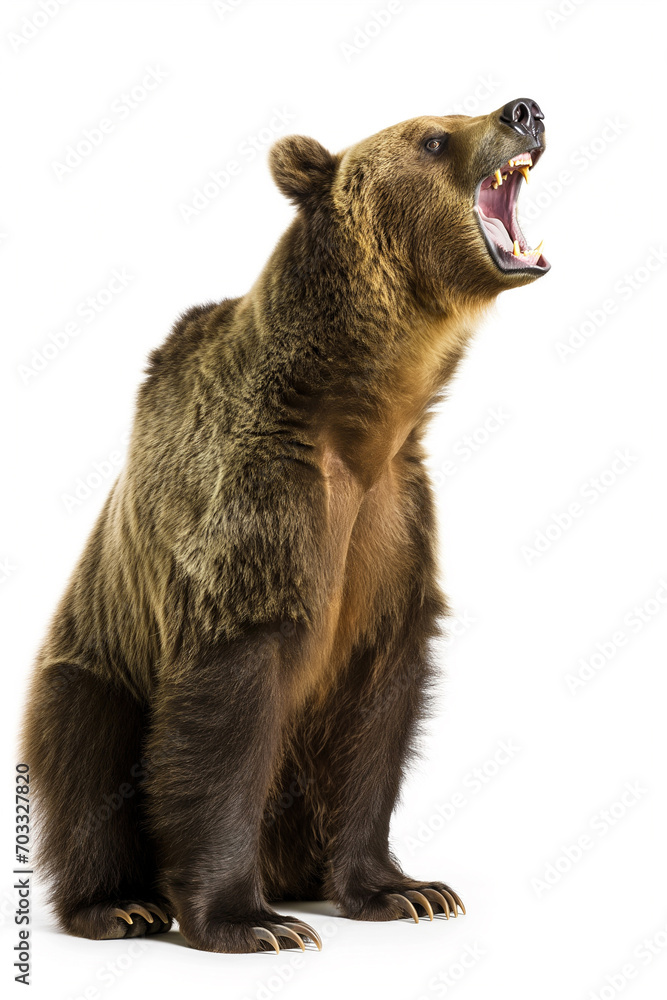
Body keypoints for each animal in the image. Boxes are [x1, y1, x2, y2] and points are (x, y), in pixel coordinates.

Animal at [21, 98, 549, 954]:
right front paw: (250, 921)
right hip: (93, 658)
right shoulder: (255, 511)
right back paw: (120, 903)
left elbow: (378, 711)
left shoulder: (393, 522)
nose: (524, 110)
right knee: (87, 754)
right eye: (433, 137)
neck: (358, 418)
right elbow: (225, 716)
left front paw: (405, 889)